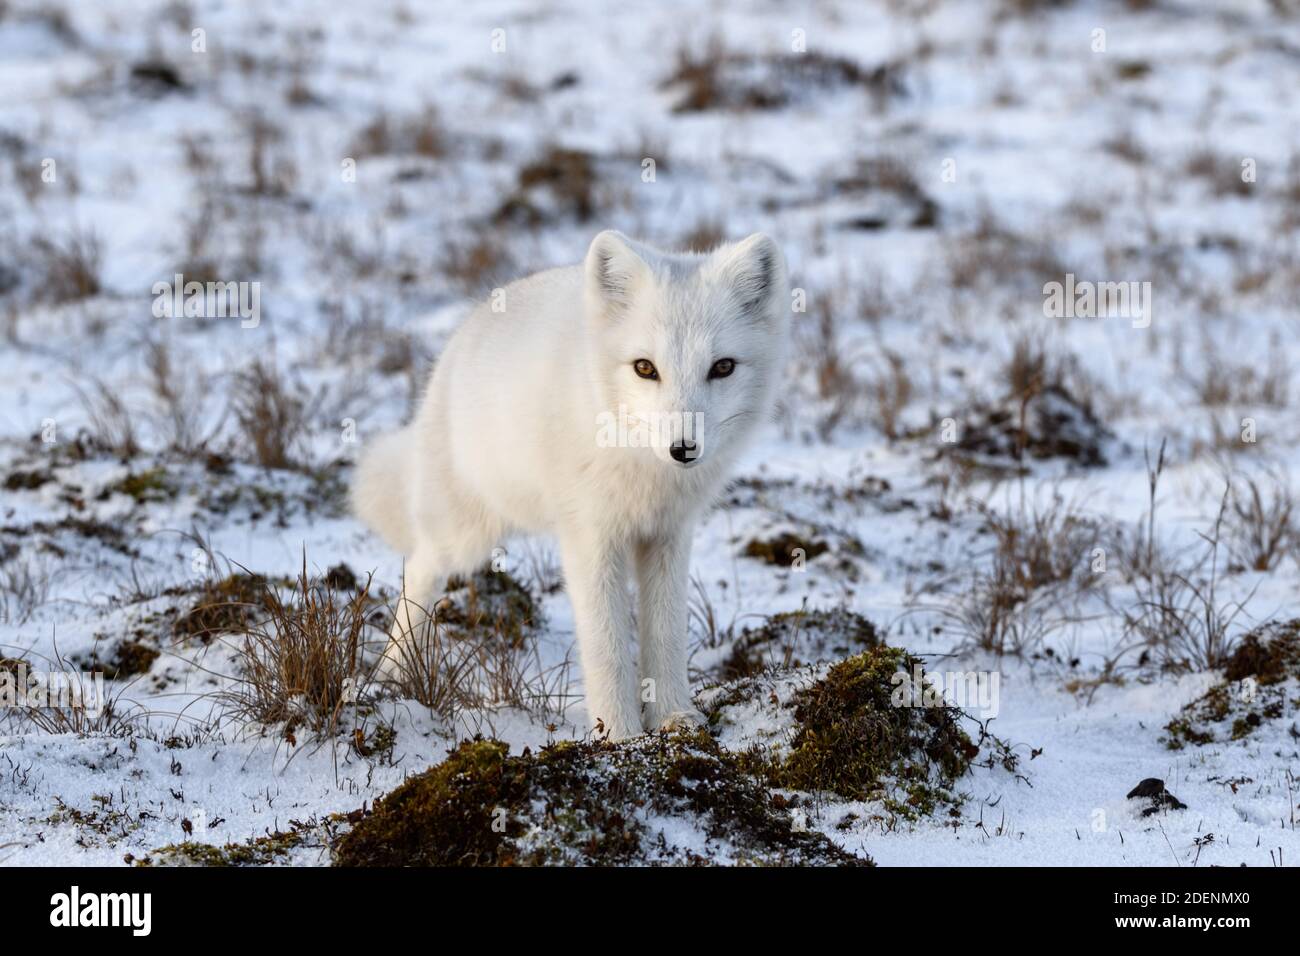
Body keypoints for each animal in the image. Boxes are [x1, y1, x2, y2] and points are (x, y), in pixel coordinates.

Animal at [351, 230, 789, 740]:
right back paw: (390, 674)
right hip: (464, 534)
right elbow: (605, 643)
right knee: (419, 573)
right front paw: (620, 735)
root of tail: (461, 336)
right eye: (645, 368)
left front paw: (674, 717)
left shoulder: (669, 534)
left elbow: (667, 633)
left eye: (722, 367)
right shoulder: (590, 535)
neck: (644, 470)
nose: (683, 448)